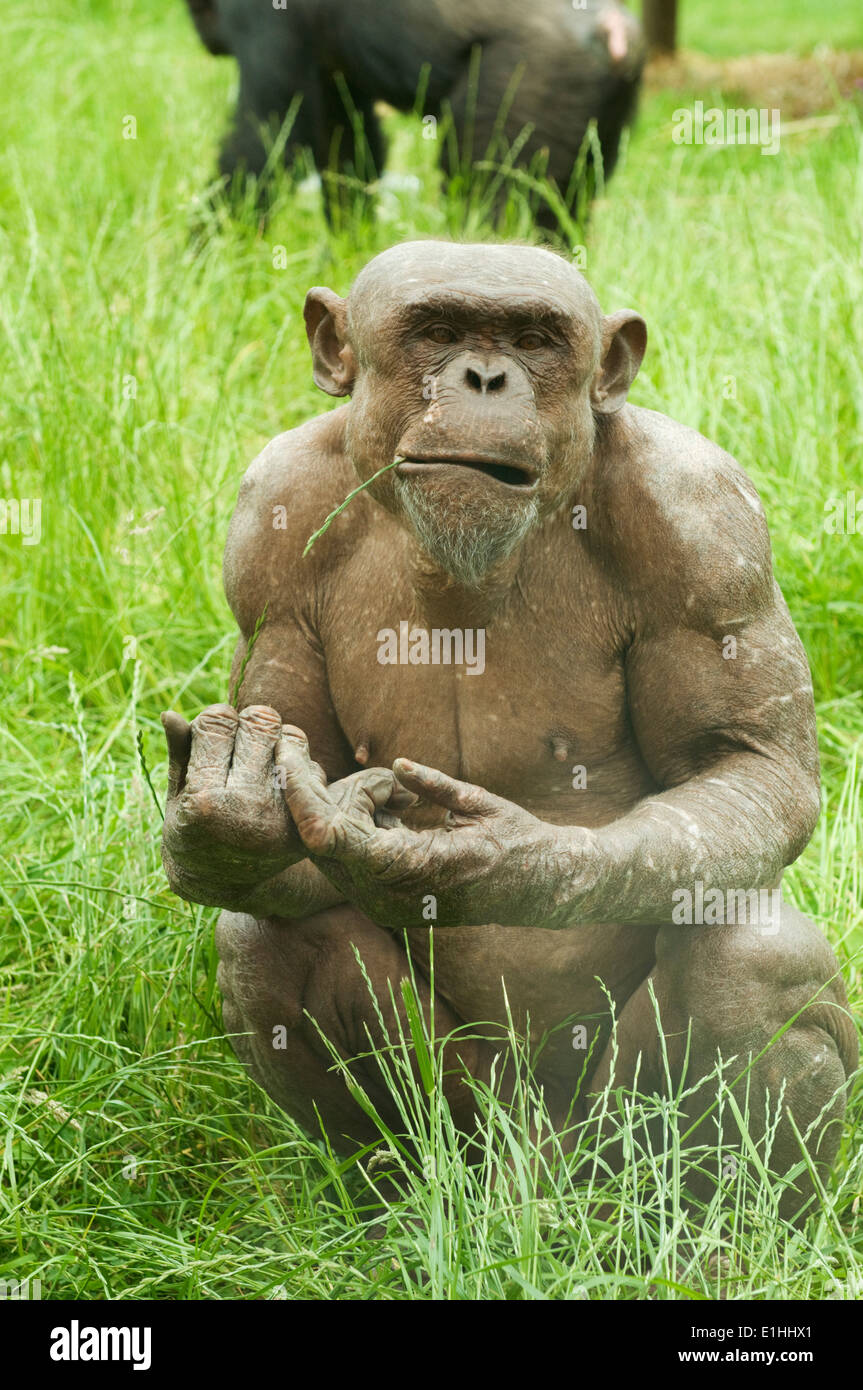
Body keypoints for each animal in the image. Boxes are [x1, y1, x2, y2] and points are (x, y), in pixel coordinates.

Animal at [161, 241, 857, 1219]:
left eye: (533, 339)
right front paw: (228, 825)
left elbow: (749, 766)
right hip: (475, 1127)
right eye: (437, 331)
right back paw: (390, 1209)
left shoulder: (705, 523)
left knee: (751, 953)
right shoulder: (268, 517)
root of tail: (536, 1174)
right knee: (265, 940)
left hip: (608, 1152)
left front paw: (500, 864)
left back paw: (727, 1229)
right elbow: (295, 767)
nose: (485, 378)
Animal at [184, 0, 645, 230]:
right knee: (566, 206)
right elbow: (347, 141)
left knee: (487, 196)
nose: (205, 34)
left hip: (529, 81)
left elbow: (270, 136)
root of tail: (613, 30)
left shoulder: (265, 19)